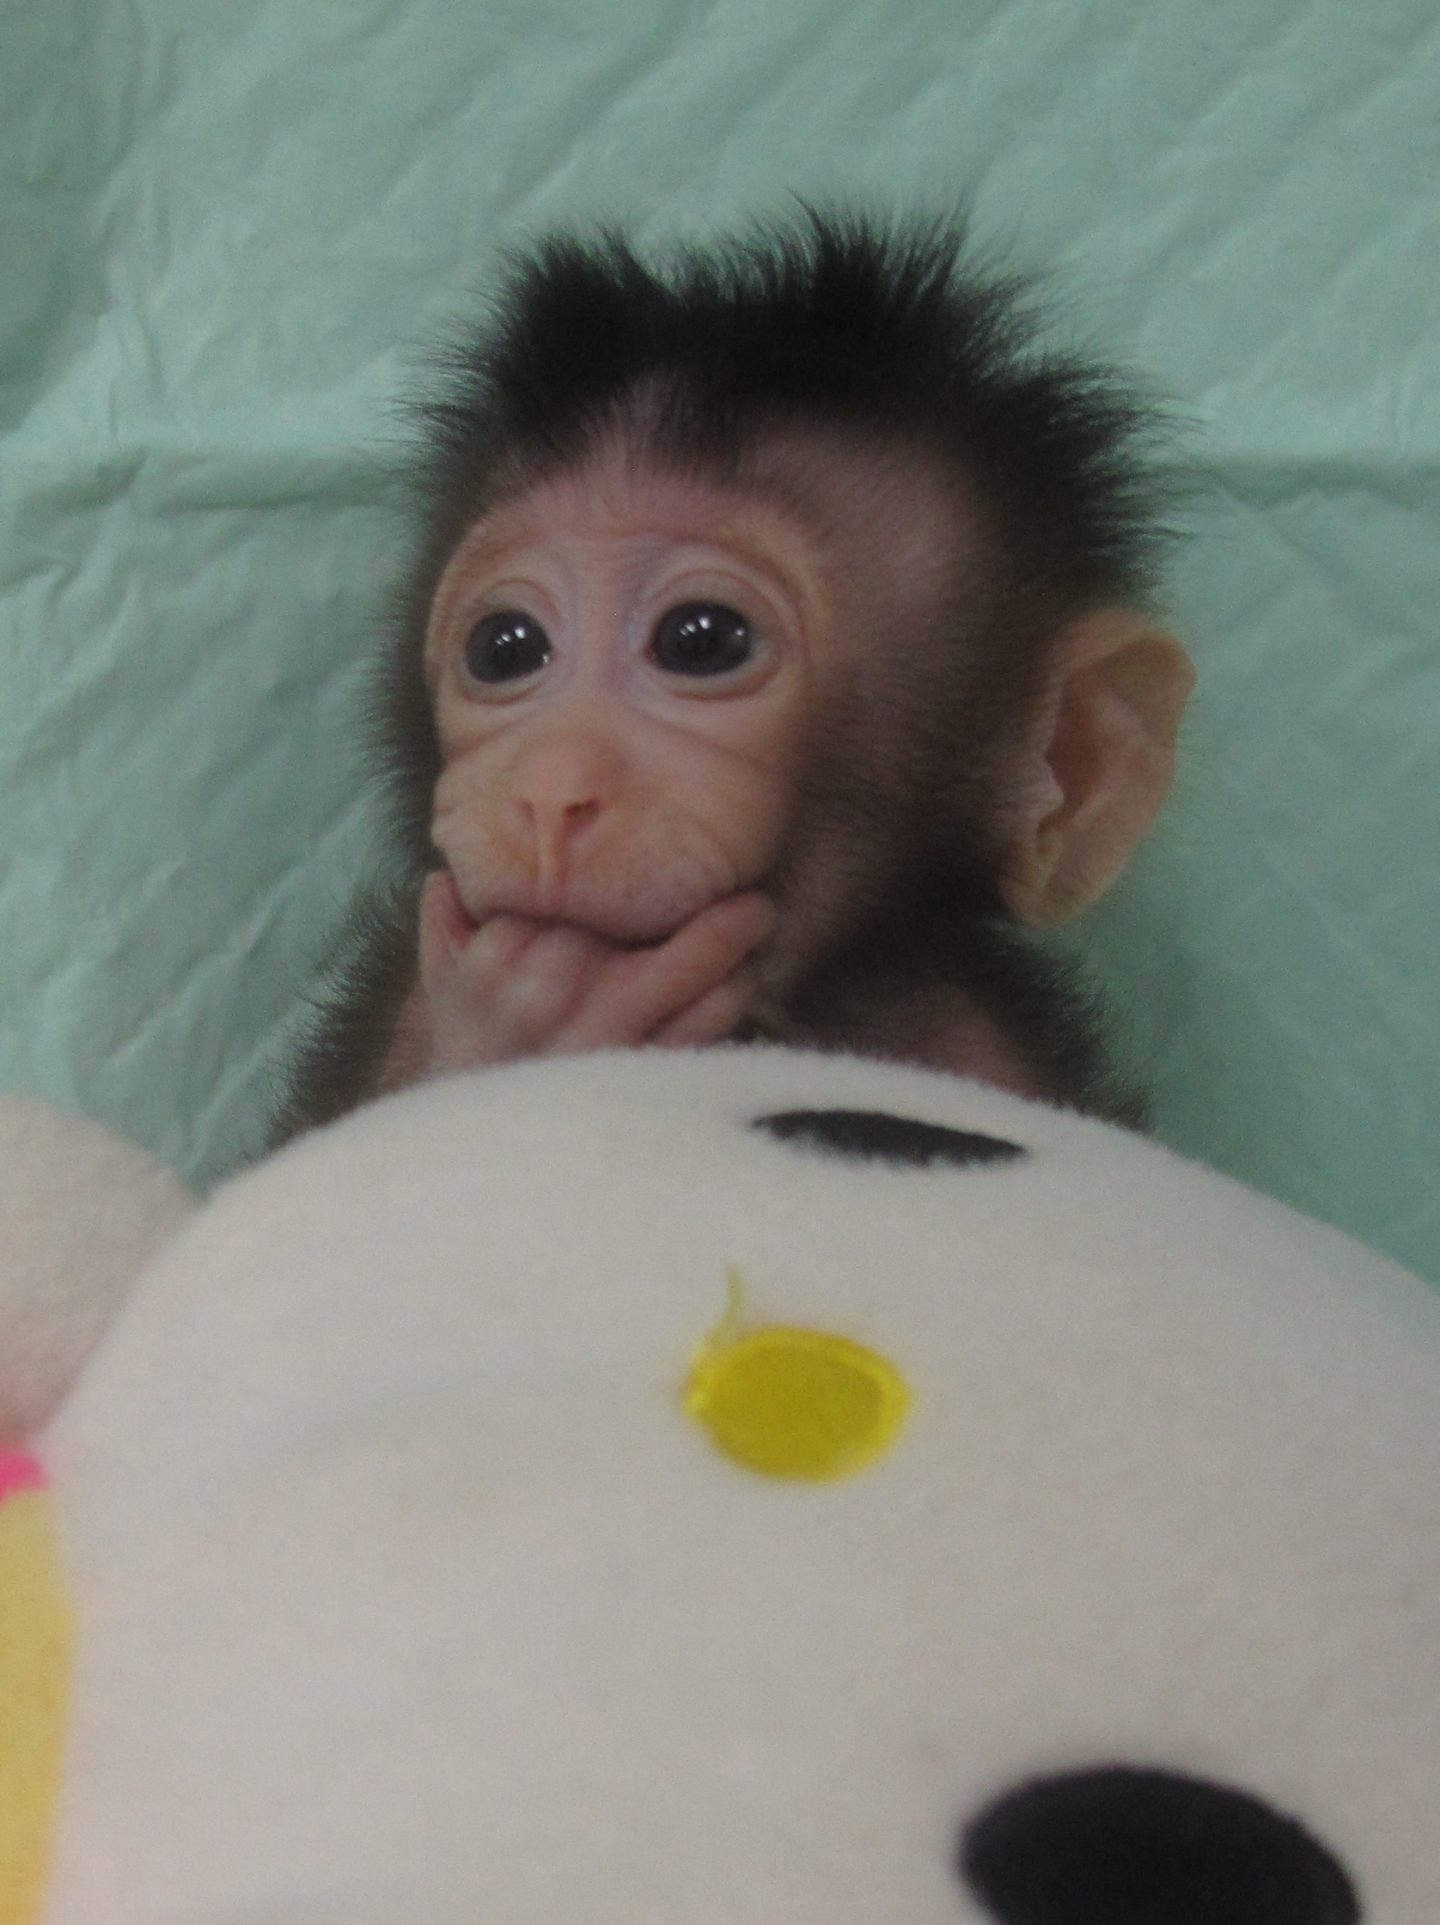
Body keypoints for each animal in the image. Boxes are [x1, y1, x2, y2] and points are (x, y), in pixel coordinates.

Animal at [269, 208, 1193, 1145]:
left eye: (702, 640)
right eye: (504, 648)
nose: (549, 793)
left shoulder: (987, 1049)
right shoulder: (403, 1009)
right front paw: (523, 1016)